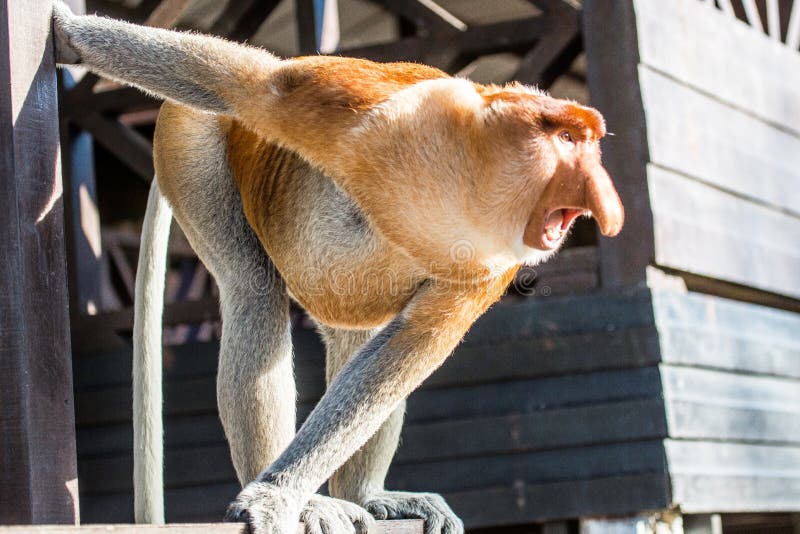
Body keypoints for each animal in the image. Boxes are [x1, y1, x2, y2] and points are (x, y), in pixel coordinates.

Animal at [52, 4, 624, 534]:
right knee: (253, 291)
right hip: (191, 141)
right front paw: (65, 34)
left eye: (589, 142)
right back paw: (299, 498)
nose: (605, 201)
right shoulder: (380, 117)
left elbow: (411, 345)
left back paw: (366, 496)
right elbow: (266, 88)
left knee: (361, 336)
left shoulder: (493, 266)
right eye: (568, 139)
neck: (472, 189)